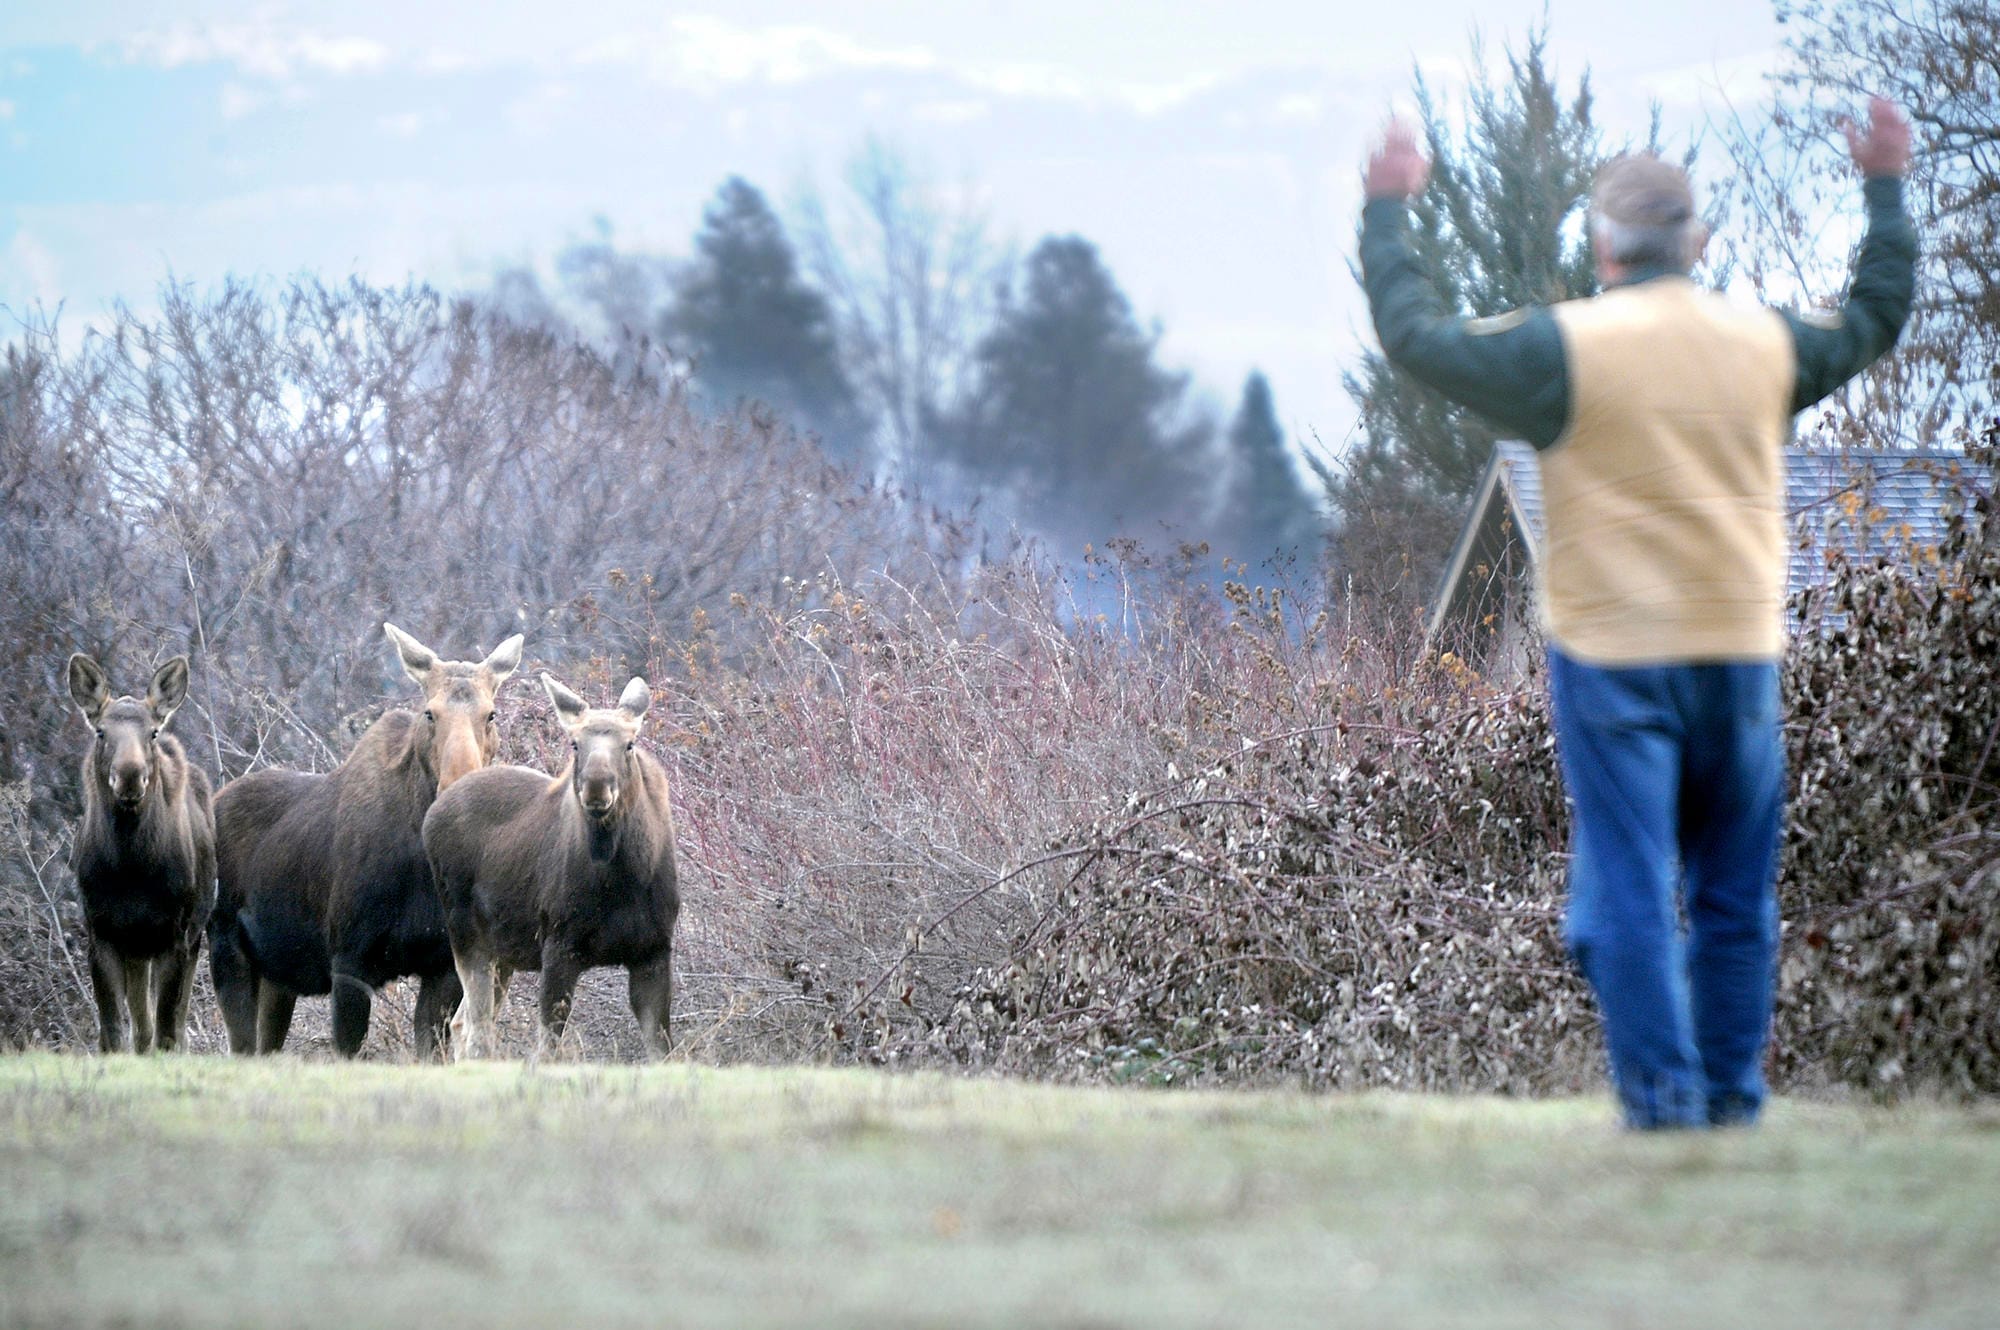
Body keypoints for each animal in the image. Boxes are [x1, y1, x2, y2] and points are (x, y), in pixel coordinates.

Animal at [65, 654, 217, 1053]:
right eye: (101, 732)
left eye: (152, 732)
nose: (130, 776)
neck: (130, 866)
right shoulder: (102, 933)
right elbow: (113, 1032)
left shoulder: (174, 936)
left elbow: (167, 1029)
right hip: (136, 948)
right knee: (141, 1026)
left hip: (194, 933)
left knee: (173, 1025)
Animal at [207, 623, 522, 1058]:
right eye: (429, 713)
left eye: (491, 714)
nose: (457, 784)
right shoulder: (349, 960)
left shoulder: (442, 965)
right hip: (224, 946)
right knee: (241, 1047)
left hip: (276, 976)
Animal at [423, 674, 679, 1060]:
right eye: (574, 744)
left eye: (630, 744)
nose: (596, 787)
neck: (623, 879)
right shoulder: (559, 947)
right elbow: (547, 1047)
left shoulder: (654, 951)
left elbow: (661, 1049)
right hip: (466, 935)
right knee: (477, 1028)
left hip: (503, 952)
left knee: (461, 1023)